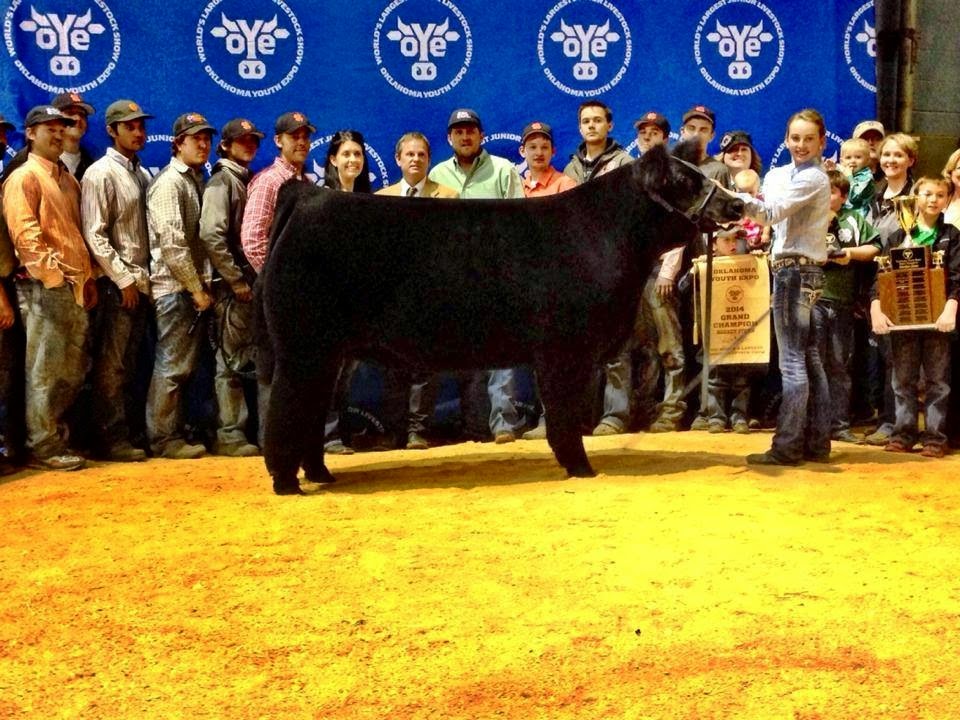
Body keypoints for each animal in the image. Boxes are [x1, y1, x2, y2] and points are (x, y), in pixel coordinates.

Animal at [259, 141, 744, 494]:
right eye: (683, 180)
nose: (738, 205)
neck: (604, 233)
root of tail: (308, 194)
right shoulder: (563, 350)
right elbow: (564, 416)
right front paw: (581, 469)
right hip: (302, 350)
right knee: (285, 409)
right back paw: (287, 484)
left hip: (326, 355)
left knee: (310, 411)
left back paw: (320, 474)